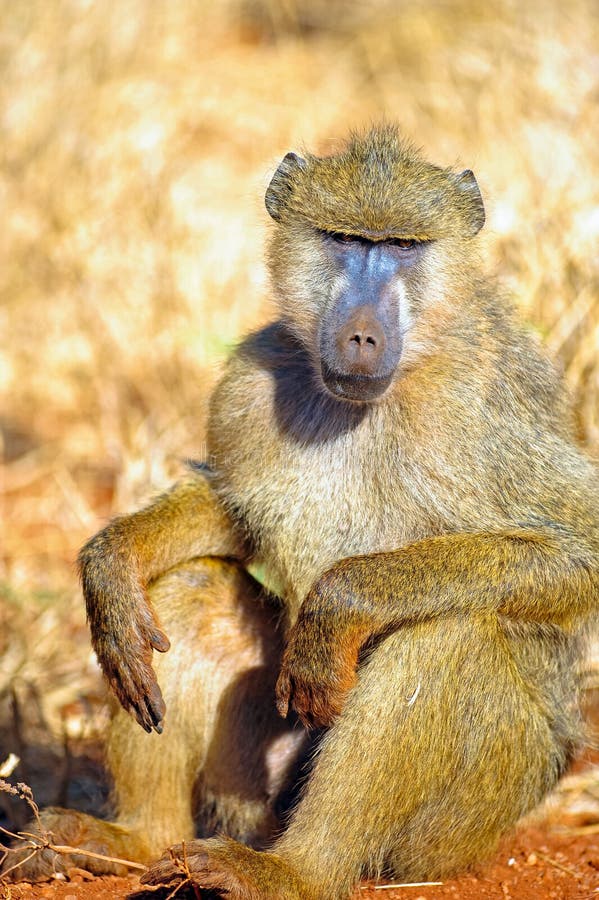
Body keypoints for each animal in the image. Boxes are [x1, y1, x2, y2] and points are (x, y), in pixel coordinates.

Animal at [4, 125, 598, 899]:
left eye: (402, 246)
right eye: (344, 239)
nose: (362, 338)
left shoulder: (478, 410)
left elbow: (575, 551)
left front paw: (341, 604)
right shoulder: (249, 384)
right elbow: (230, 510)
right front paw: (112, 565)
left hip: (467, 820)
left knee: (444, 634)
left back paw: (295, 871)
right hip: (255, 788)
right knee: (192, 590)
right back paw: (135, 840)